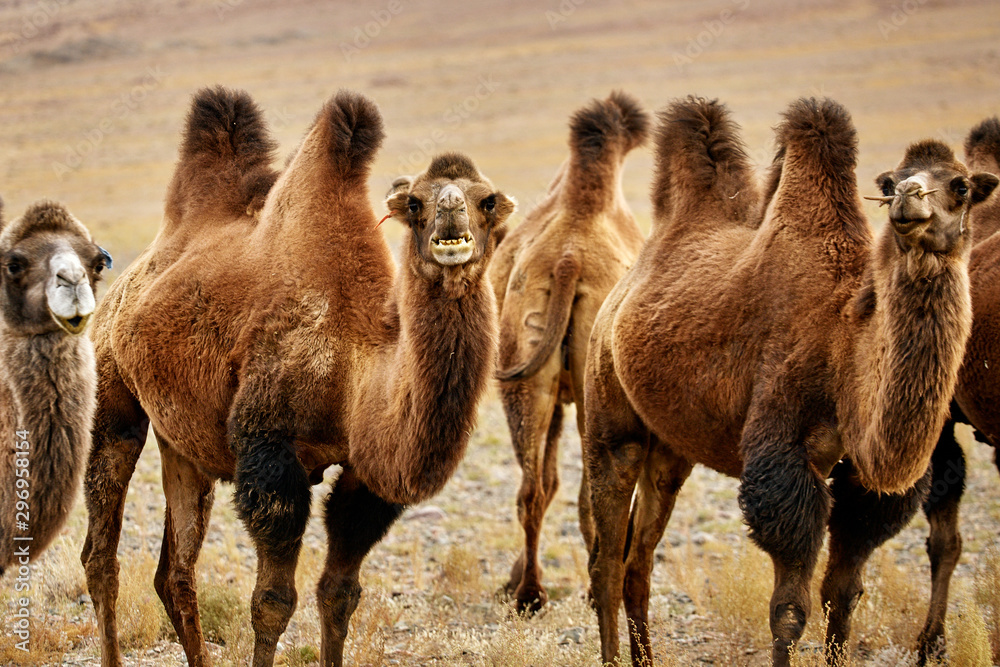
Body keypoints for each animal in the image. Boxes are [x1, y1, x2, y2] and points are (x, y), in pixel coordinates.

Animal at [79, 87, 514, 667]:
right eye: (416, 203)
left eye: (487, 200)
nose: (450, 214)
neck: (356, 366)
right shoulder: (269, 450)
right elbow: (272, 601)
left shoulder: (365, 478)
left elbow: (339, 594)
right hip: (112, 396)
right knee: (101, 553)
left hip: (184, 442)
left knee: (175, 571)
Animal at [487, 91, 649, 613]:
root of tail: (567, 262)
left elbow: (548, 478)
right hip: (587, 384)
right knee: (584, 494)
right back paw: (585, 591)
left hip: (525, 373)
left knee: (531, 488)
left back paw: (528, 593)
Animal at [583, 96, 998, 666]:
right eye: (891, 181)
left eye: (960, 186)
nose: (909, 199)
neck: (845, 346)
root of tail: (619, 294)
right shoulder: (783, 455)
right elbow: (789, 610)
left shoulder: (863, 483)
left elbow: (843, 597)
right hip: (609, 417)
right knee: (606, 562)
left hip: (668, 450)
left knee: (637, 562)